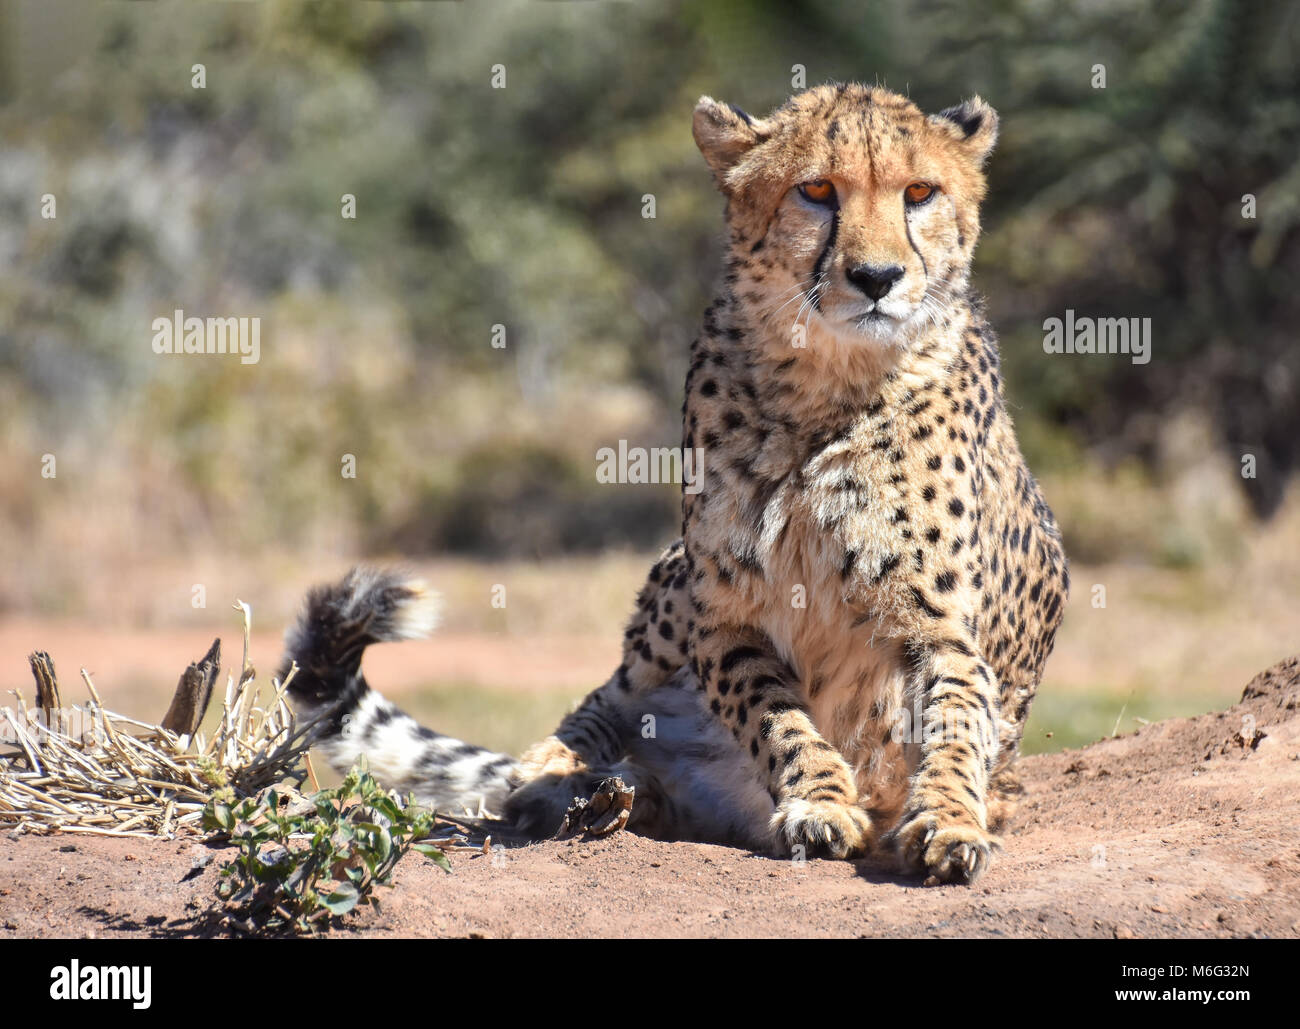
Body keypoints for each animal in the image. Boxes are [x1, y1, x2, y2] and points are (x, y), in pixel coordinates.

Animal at [281, 83, 1068, 885]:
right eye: (817, 191)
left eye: (920, 193)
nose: (877, 279)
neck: (827, 379)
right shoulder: (722, 612)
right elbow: (773, 715)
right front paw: (819, 801)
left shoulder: (939, 627)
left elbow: (955, 716)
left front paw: (949, 821)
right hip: (671, 584)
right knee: (606, 700)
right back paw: (566, 778)